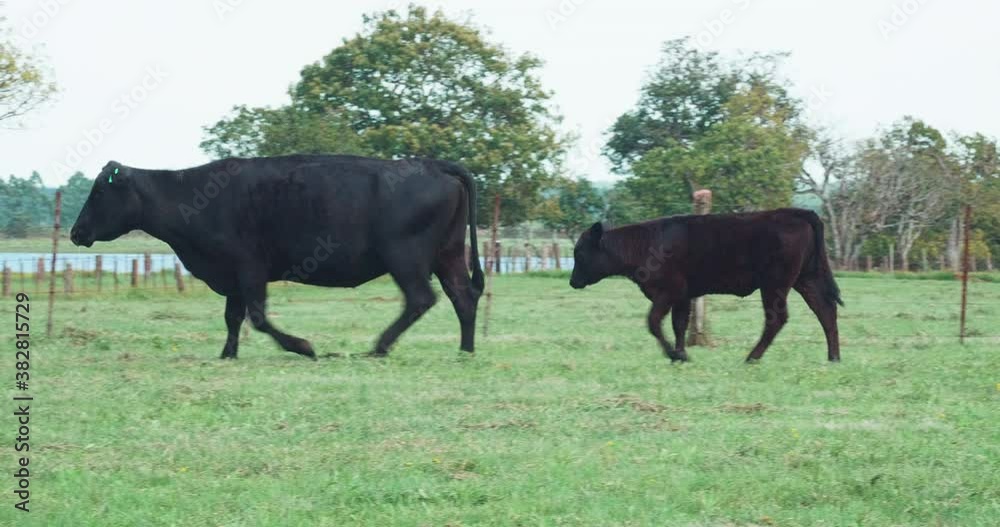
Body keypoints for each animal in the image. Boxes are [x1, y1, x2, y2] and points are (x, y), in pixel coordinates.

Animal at [70, 155, 484, 360]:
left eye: (99, 192)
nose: (76, 233)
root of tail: (433, 164)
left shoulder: (248, 267)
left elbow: (257, 317)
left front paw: (303, 347)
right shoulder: (232, 276)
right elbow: (233, 317)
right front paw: (227, 354)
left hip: (405, 256)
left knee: (421, 298)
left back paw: (381, 346)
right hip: (448, 254)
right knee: (462, 297)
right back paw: (465, 350)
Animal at [569, 208, 843, 363]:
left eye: (579, 252)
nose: (572, 281)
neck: (645, 244)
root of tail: (796, 212)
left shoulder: (668, 292)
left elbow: (654, 322)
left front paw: (673, 354)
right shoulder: (683, 296)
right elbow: (679, 324)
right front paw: (680, 355)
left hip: (775, 285)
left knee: (777, 318)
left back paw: (752, 357)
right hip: (806, 278)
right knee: (825, 310)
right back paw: (834, 357)